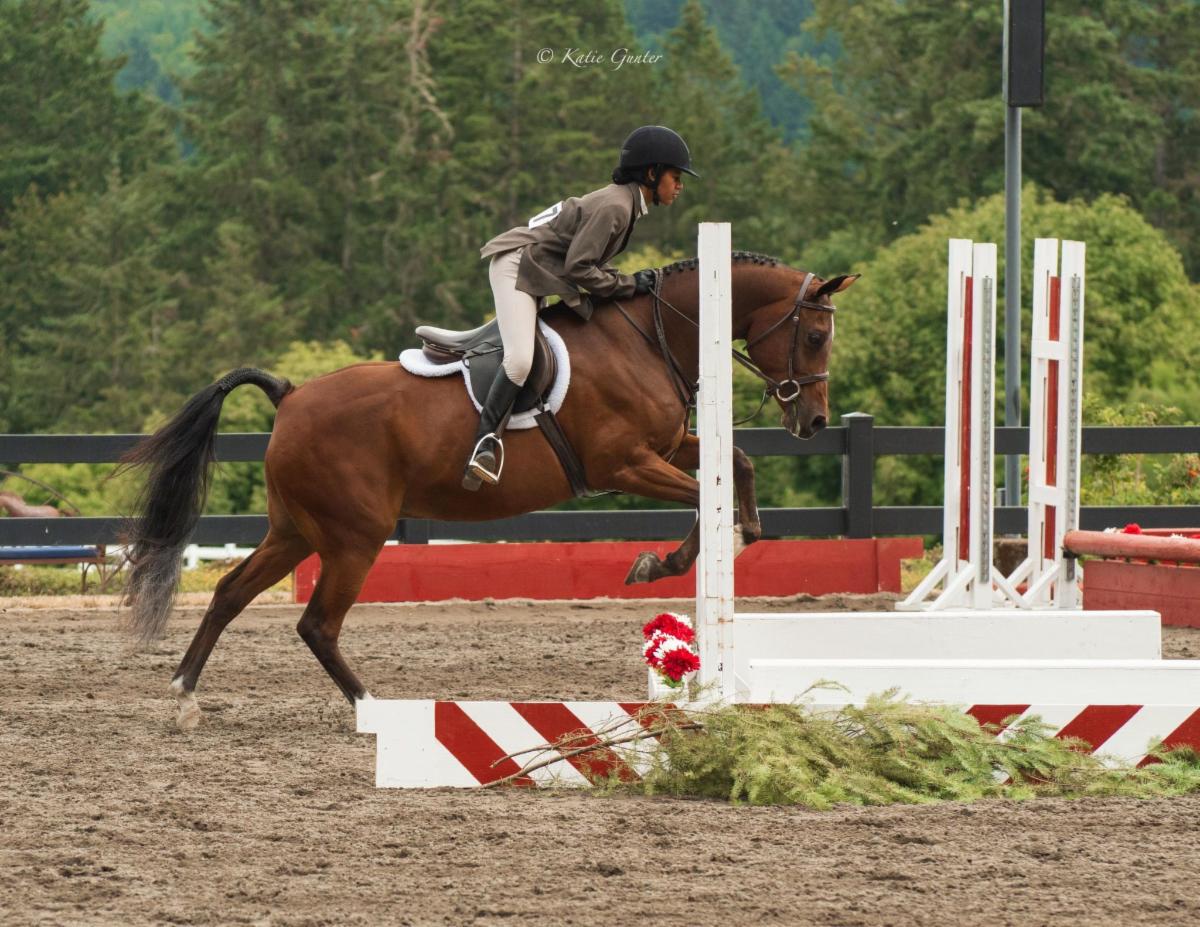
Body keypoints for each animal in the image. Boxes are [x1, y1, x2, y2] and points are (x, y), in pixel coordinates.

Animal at [119, 252, 857, 729]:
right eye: (817, 335)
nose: (815, 422)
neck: (648, 338)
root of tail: (290, 395)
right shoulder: (623, 465)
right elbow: (705, 499)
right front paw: (661, 562)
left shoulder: (670, 446)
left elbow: (736, 461)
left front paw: (745, 532)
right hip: (355, 537)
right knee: (317, 624)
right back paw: (370, 709)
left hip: (295, 531)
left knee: (230, 592)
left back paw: (185, 696)